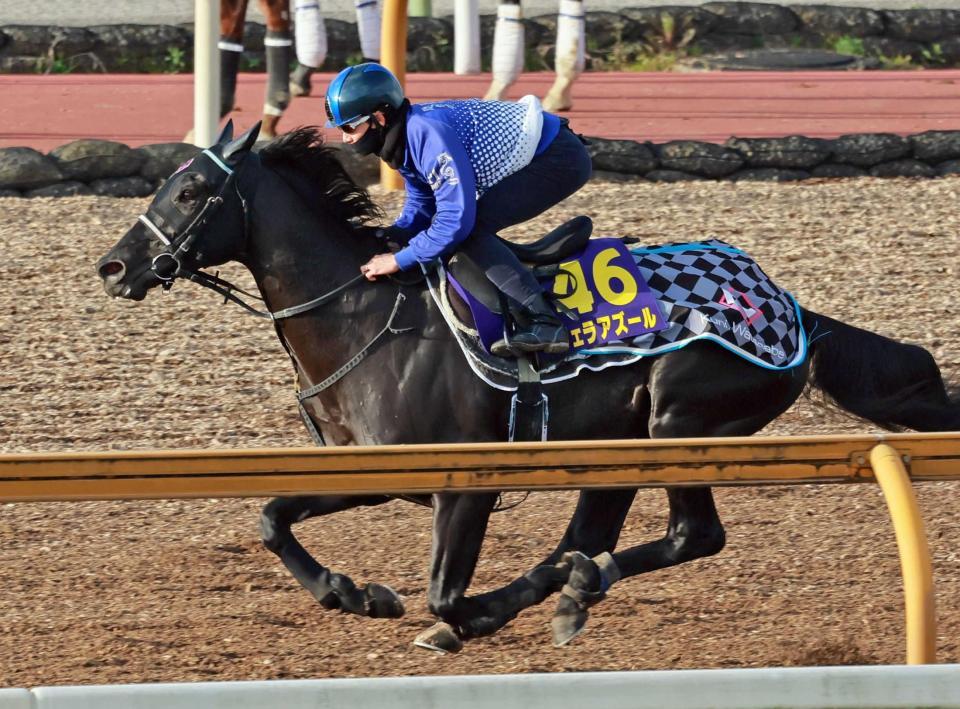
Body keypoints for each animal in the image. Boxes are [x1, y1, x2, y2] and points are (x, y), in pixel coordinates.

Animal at [96, 123, 960, 653]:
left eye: (188, 192)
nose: (113, 266)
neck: (363, 315)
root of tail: (791, 307)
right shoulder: (369, 467)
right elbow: (273, 516)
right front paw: (355, 592)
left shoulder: (466, 480)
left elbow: (445, 592)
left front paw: (447, 613)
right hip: (619, 444)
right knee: (595, 536)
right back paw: (571, 584)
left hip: (678, 420)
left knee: (692, 534)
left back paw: (566, 586)